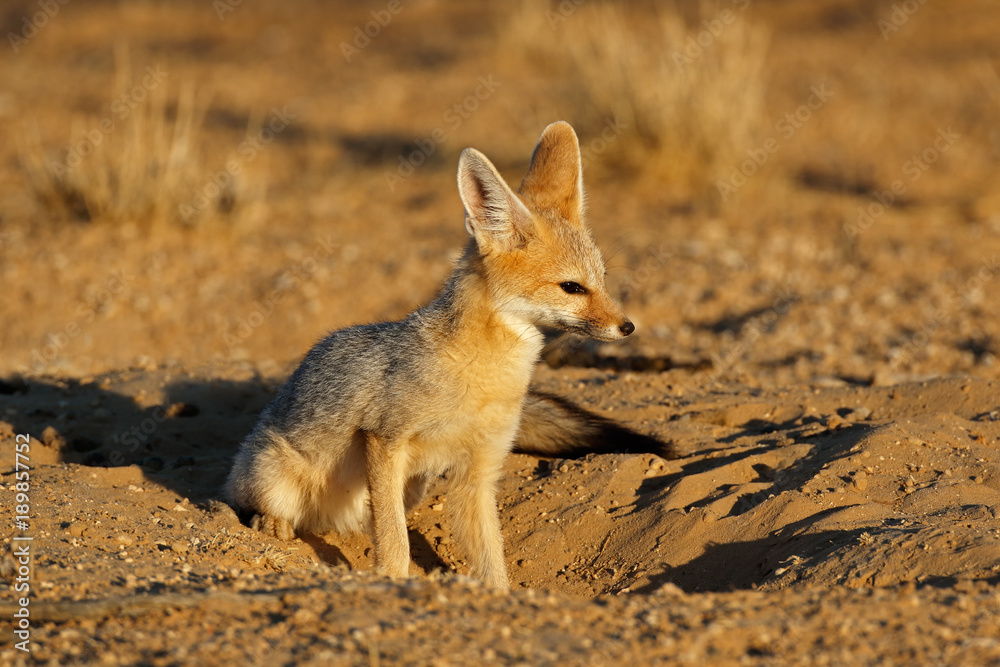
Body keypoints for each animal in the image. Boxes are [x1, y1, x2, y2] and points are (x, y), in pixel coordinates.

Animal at [225, 121, 669, 589]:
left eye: (601, 280)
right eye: (572, 288)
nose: (627, 327)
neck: (482, 376)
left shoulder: (479, 471)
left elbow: (490, 555)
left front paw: (498, 594)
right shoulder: (384, 439)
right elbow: (395, 541)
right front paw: (392, 579)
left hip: (410, 488)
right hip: (276, 475)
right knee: (255, 503)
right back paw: (271, 523)